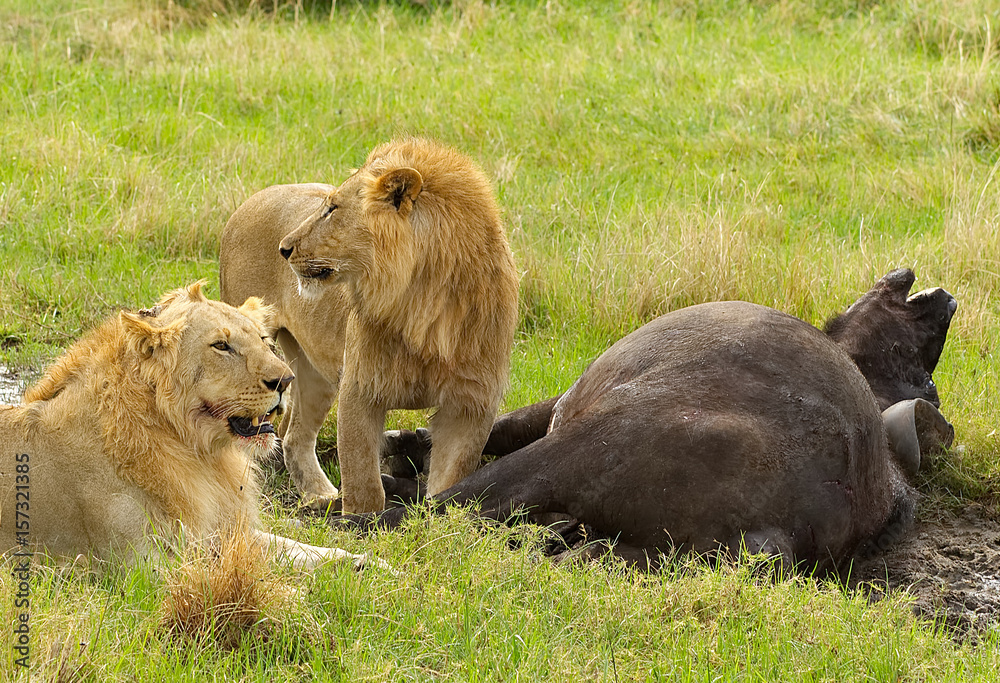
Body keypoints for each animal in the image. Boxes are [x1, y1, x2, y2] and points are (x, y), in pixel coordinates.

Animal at [0, 283, 376, 570]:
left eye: (263, 340)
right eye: (221, 346)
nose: (286, 380)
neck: (201, 453)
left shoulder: (220, 529)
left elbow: (297, 549)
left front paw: (363, 563)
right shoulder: (141, 565)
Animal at [220, 138, 519, 514]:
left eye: (332, 209)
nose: (284, 249)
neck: (423, 304)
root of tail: (247, 204)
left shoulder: (469, 404)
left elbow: (451, 482)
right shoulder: (360, 387)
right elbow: (363, 479)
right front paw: (361, 520)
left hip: (314, 373)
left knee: (294, 437)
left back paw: (319, 495)